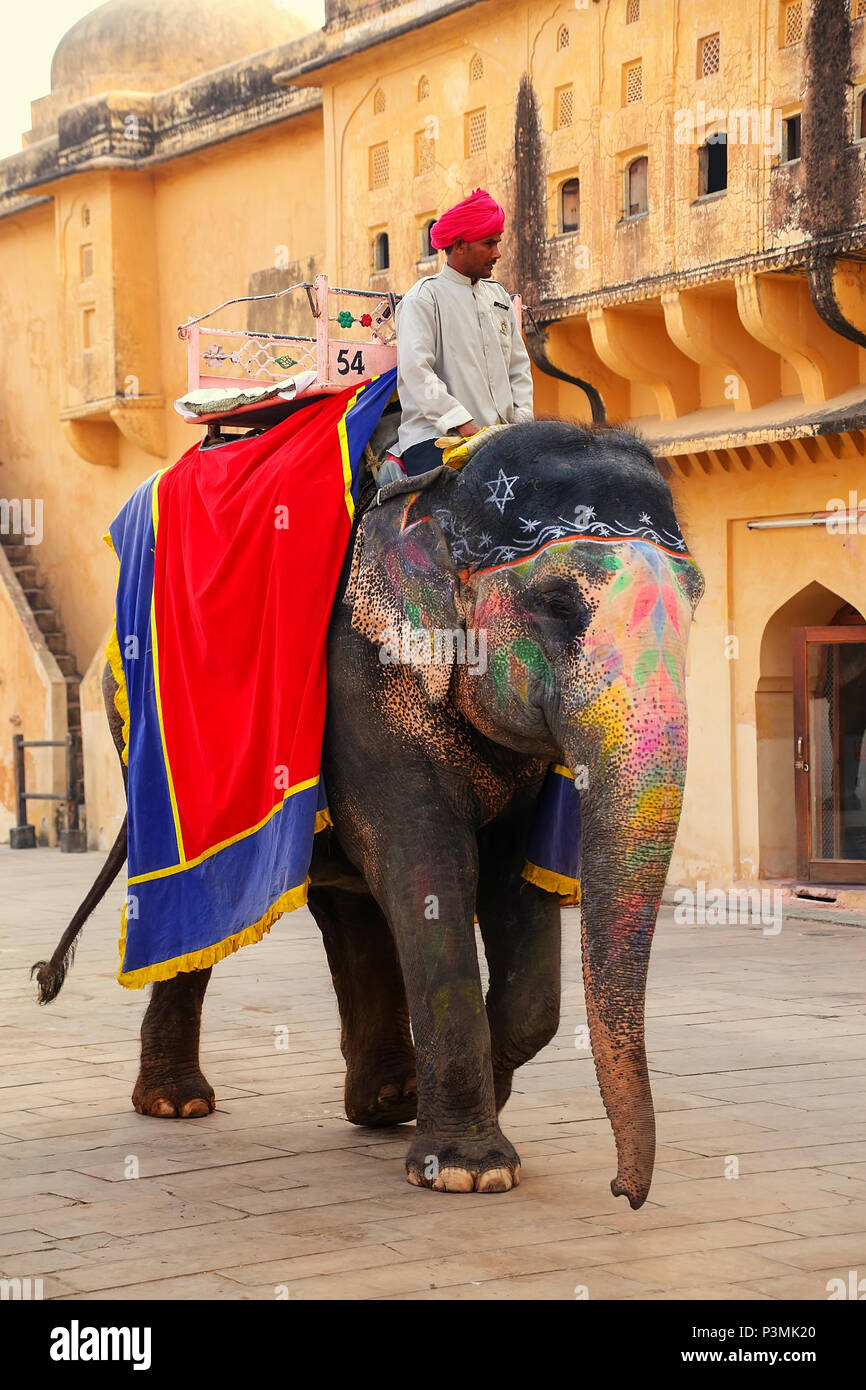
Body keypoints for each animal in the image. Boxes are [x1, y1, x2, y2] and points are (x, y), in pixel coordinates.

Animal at [34, 419, 703, 1209]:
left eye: (697, 601)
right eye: (559, 604)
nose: (624, 1191)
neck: (442, 497)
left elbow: (512, 890)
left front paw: (460, 1120)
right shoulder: (362, 678)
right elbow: (430, 865)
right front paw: (469, 1172)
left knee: (348, 897)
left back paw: (383, 1103)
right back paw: (177, 1104)